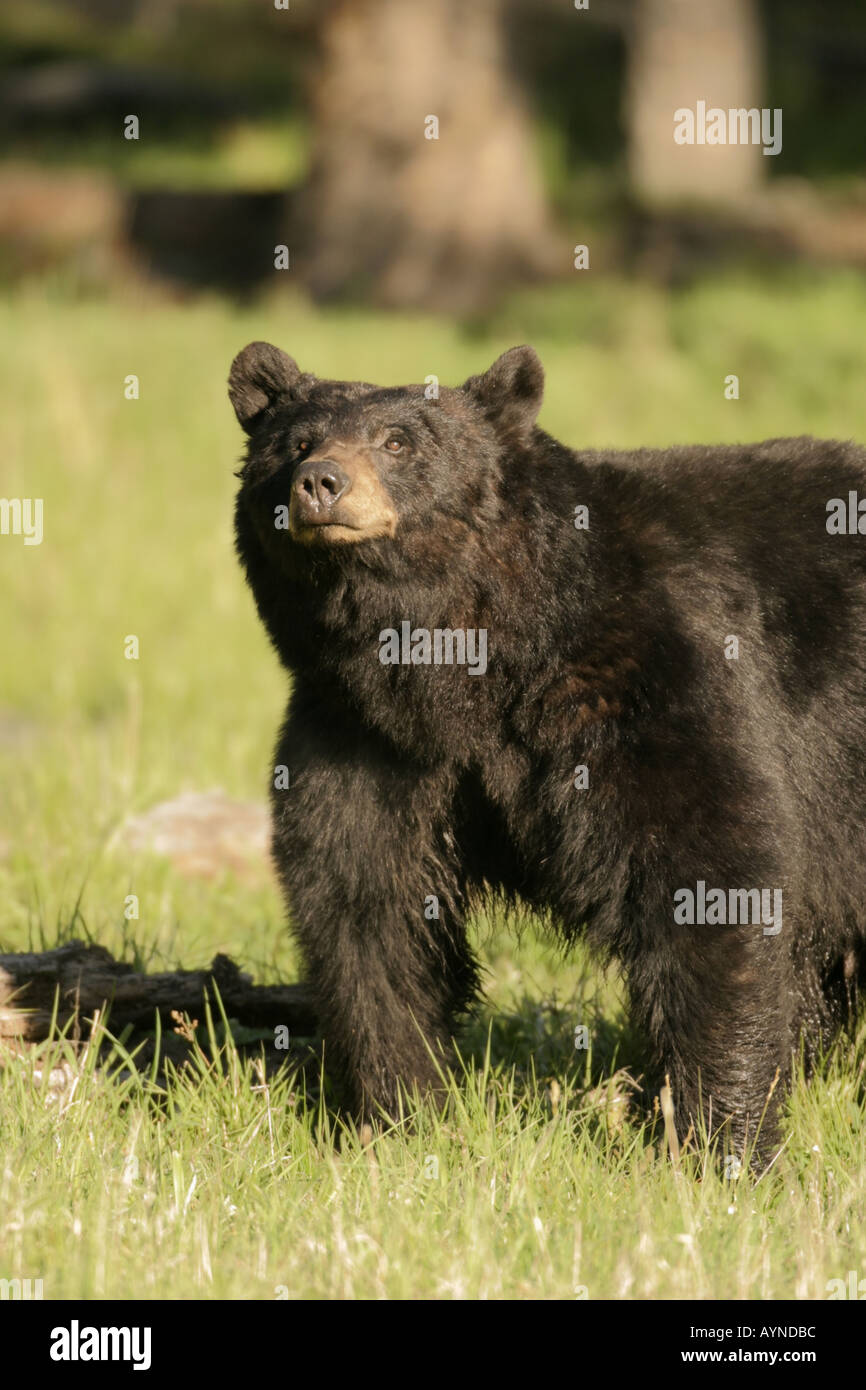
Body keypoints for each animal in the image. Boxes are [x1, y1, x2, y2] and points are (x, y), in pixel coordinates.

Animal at [229, 339, 866, 1160]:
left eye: (400, 441)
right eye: (295, 443)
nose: (320, 484)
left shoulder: (646, 676)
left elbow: (706, 871)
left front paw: (717, 1140)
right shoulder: (362, 734)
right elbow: (365, 902)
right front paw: (398, 1117)